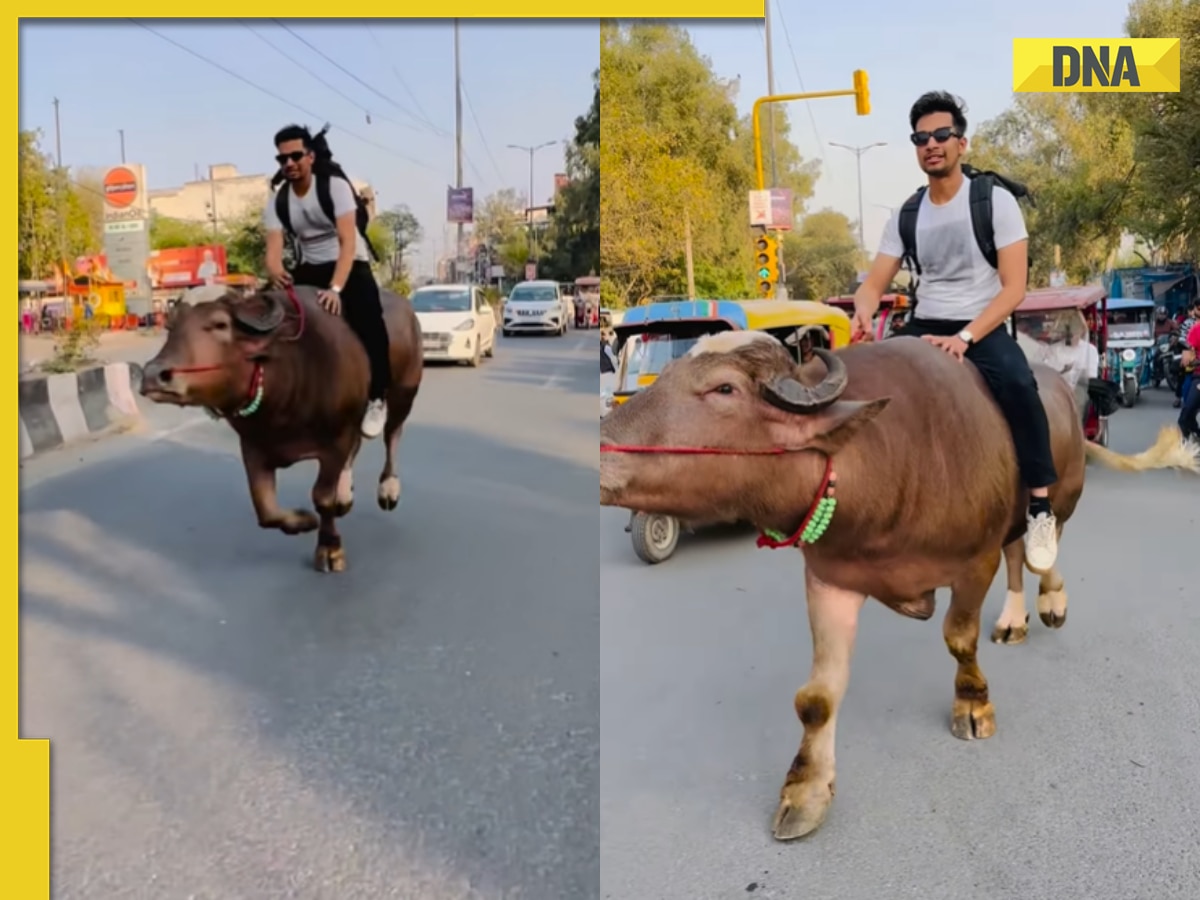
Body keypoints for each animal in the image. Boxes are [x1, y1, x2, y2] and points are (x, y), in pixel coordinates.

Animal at [140, 284, 423, 573]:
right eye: (171, 326)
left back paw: (388, 489)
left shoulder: (335, 441)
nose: (153, 374)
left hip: (404, 393)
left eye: (220, 324)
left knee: (392, 435)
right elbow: (265, 510)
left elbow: (322, 498)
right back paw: (345, 495)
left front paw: (329, 548)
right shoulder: (253, 446)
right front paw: (304, 521)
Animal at [599, 330, 1199, 841]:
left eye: (723, 388)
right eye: (667, 370)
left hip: (1063, 492)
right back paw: (1013, 619)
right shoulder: (830, 578)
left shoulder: (973, 561)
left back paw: (1051, 599)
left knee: (1038, 546)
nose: (604, 451)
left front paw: (973, 705)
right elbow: (817, 696)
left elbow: (959, 637)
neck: (890, 463)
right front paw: (806, 792)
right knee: (1017, 555)